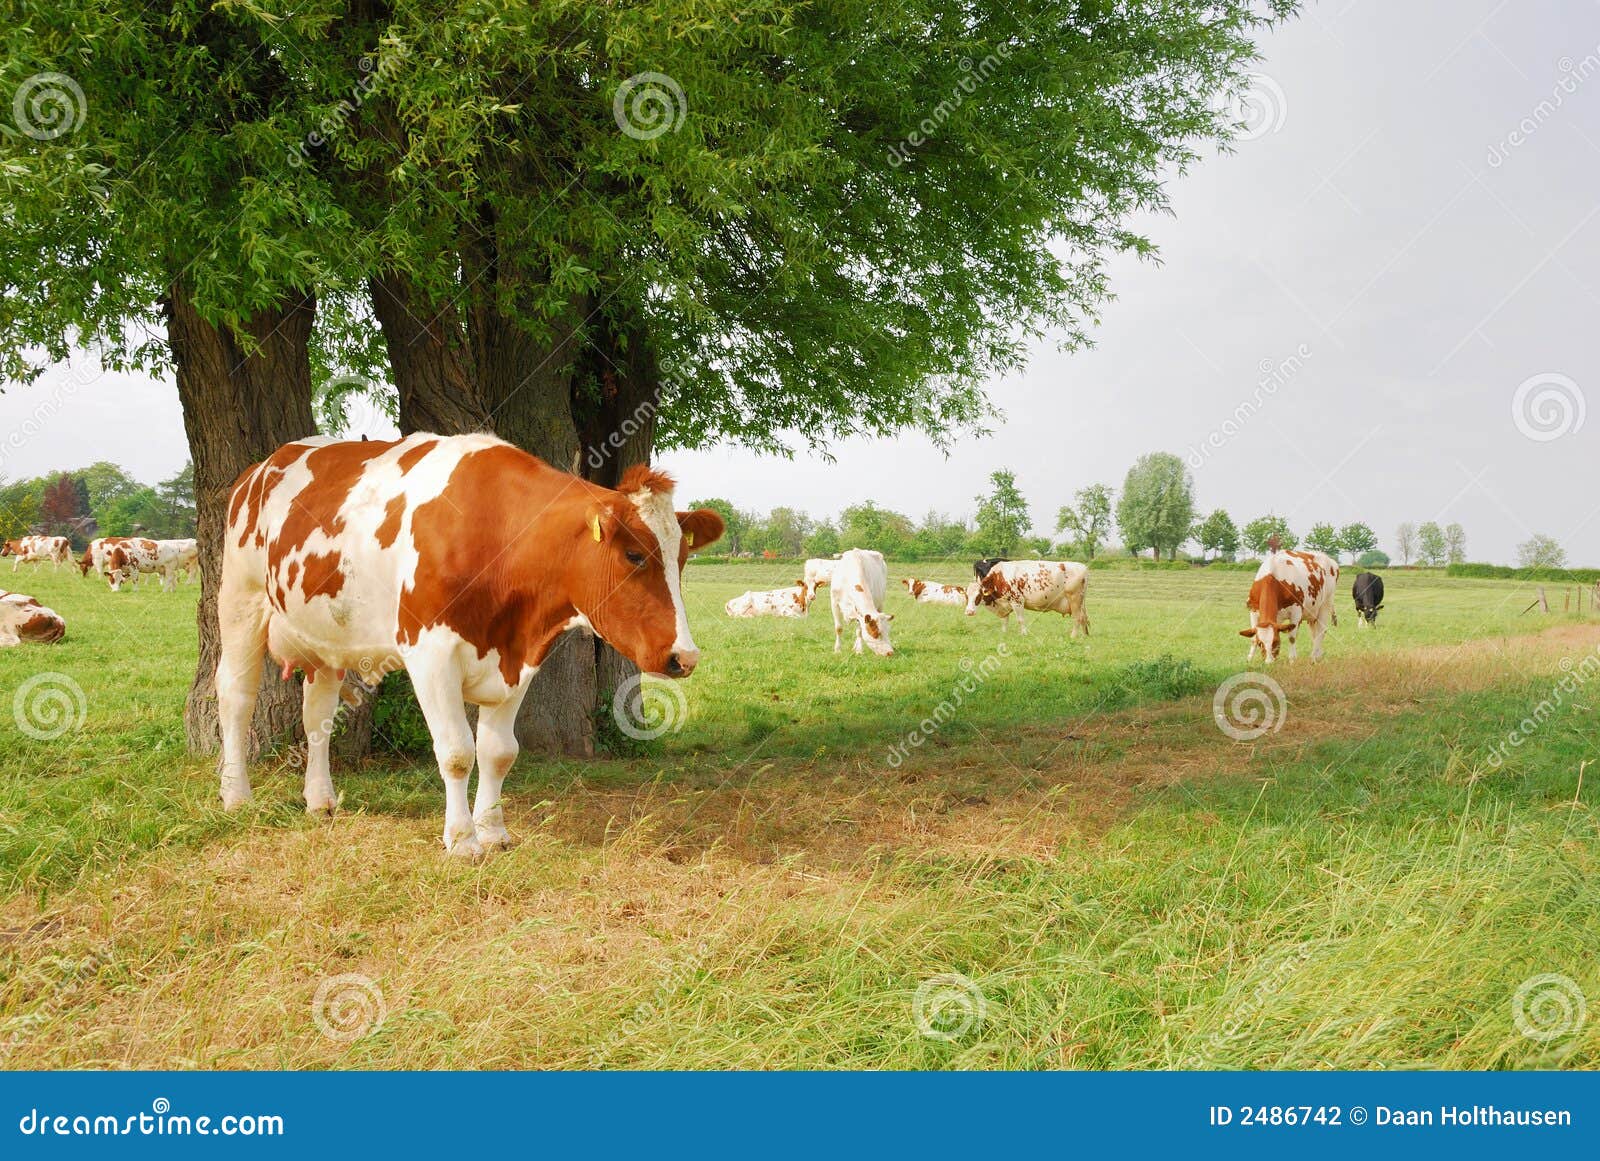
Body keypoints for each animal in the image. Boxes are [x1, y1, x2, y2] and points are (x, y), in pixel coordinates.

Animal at [217, 433, 723, 857]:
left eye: (682, 558)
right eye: (634, 555)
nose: (684, 657)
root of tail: (261, 466)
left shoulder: (520, 660)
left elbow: (499, 752)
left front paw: (494, 832)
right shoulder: (430, 654)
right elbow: (458, 752)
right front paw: (462, 841)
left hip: (325, 636)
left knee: (317, 711)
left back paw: (319, 799)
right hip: (240, 601)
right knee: (236, 697)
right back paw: (236, 795)